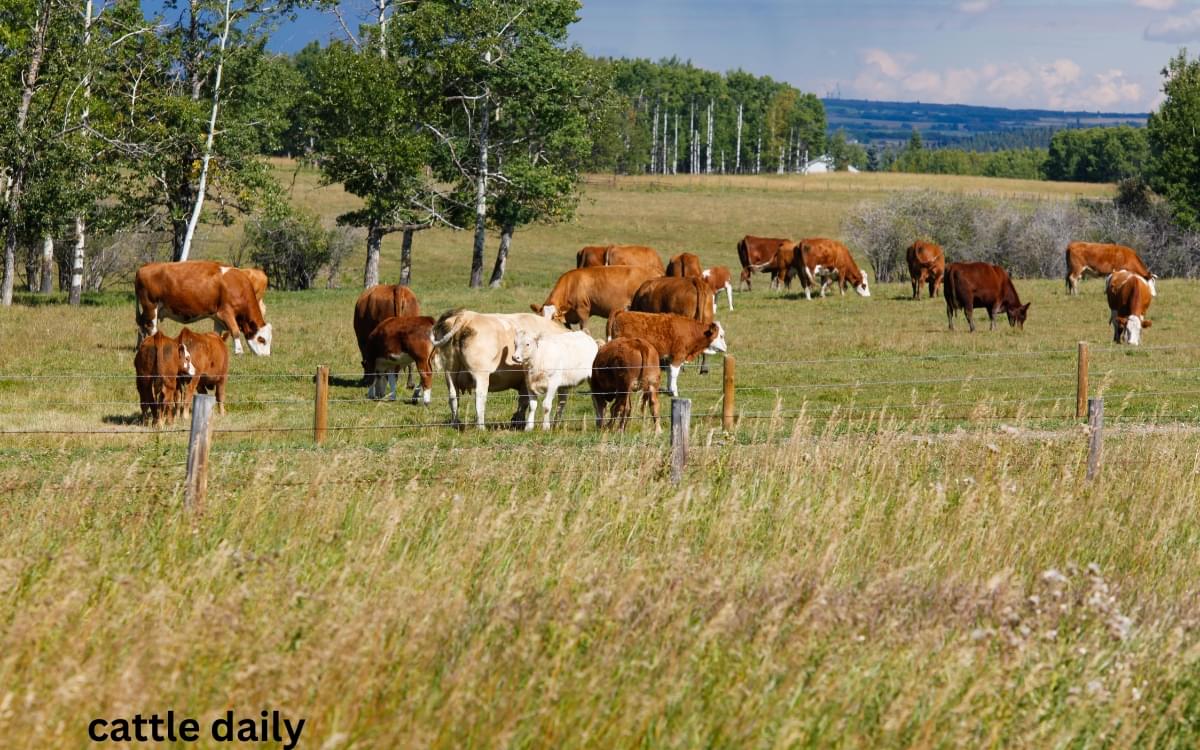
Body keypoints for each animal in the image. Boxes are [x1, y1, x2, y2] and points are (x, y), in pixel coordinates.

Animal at [134, 261, 273, 356]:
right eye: (261, 339)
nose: (265, 356)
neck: (237, 284)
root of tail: (144, 267)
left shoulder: (218, 317)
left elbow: (217, 335)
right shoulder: (226, 312)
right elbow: (235, 331)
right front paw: (239, 352)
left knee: (141, 326)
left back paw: (140, 346)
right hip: (151, 307)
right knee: (151, 328)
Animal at [430, 310, 567, 429]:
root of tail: (466, 316)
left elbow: (523, 401)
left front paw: (517, 421)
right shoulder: (526, 380)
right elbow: (524, 401)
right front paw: (519, 422)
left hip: (449, 371)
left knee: (453, 397)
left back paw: (455, 424)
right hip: (481, 374)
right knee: (479, 397)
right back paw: (481, 427)